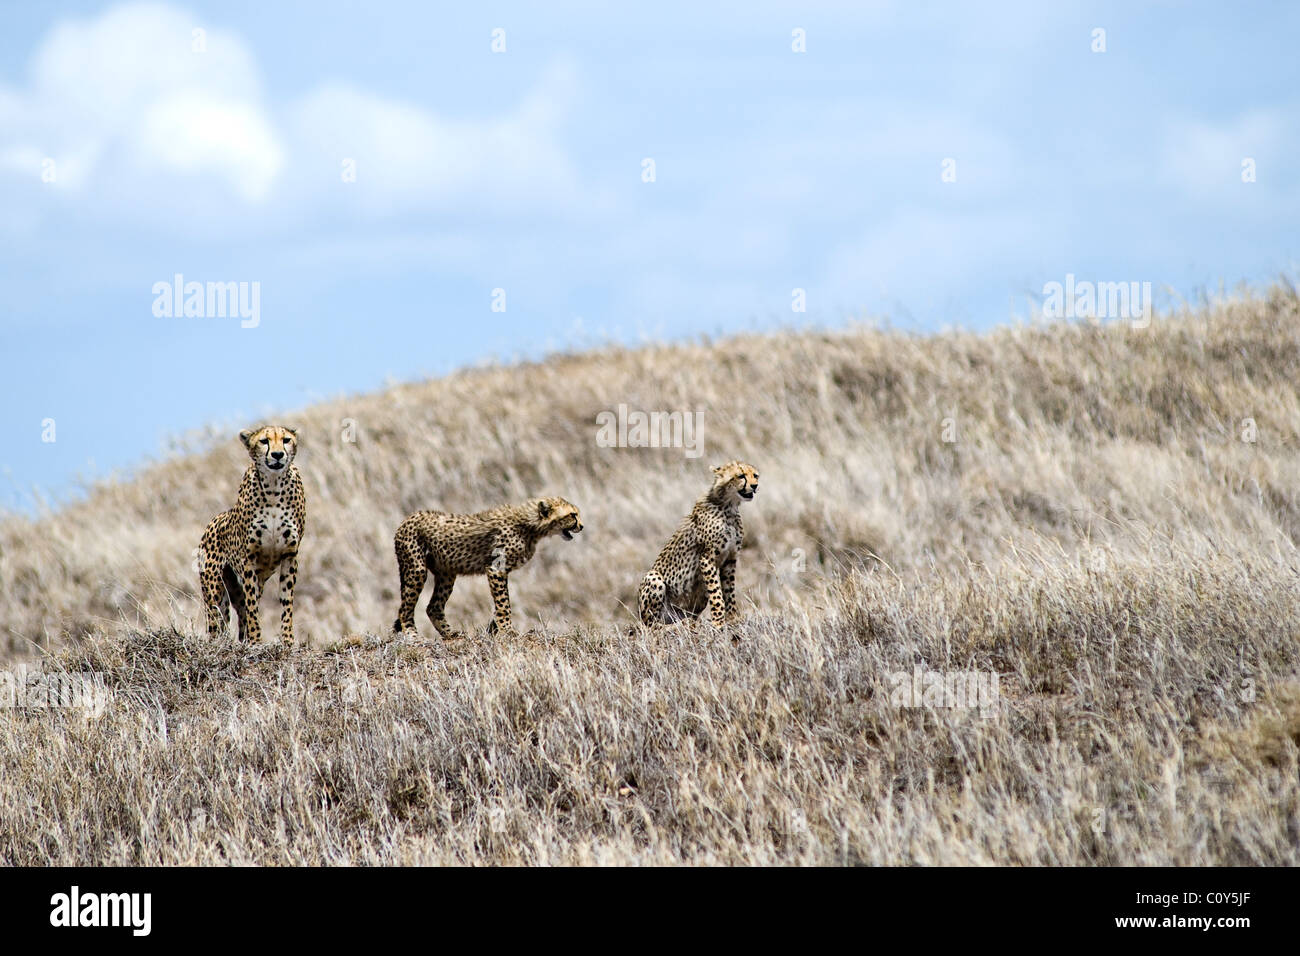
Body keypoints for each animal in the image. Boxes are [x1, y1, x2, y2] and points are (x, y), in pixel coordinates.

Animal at [199, 425, 306, 645]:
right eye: (264, 441)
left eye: (286, 440)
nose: (277, 455)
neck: (274, 487)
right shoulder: (249, 558)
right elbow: (253, 608)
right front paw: (256, 641)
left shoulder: (290, 555)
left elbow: (286, 602)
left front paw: (287, 640)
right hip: (214, 589)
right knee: (216, 623)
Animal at [392, 496, 582, 640]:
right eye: (572, 515)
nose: (581, 526)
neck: (530, 526)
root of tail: (408, 518)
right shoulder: (496, 568)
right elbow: (504, 603)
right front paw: (507, 630)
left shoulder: (499, 570)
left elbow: (500, 603)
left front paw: (493, 628)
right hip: (417, 569)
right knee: (405, 609)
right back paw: (412, 635)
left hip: (447, 573)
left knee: (433, 607)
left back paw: (451, 634)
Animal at [638, 460, 758, 627]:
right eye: (741, 476)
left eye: (755, 475)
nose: (755, 485)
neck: (728, 506)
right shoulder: (707, 558)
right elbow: (716, 594)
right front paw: (718, 622)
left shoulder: (730, 559)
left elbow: (729, 592)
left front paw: (733, 617)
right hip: (653, 578)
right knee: (652, 626)